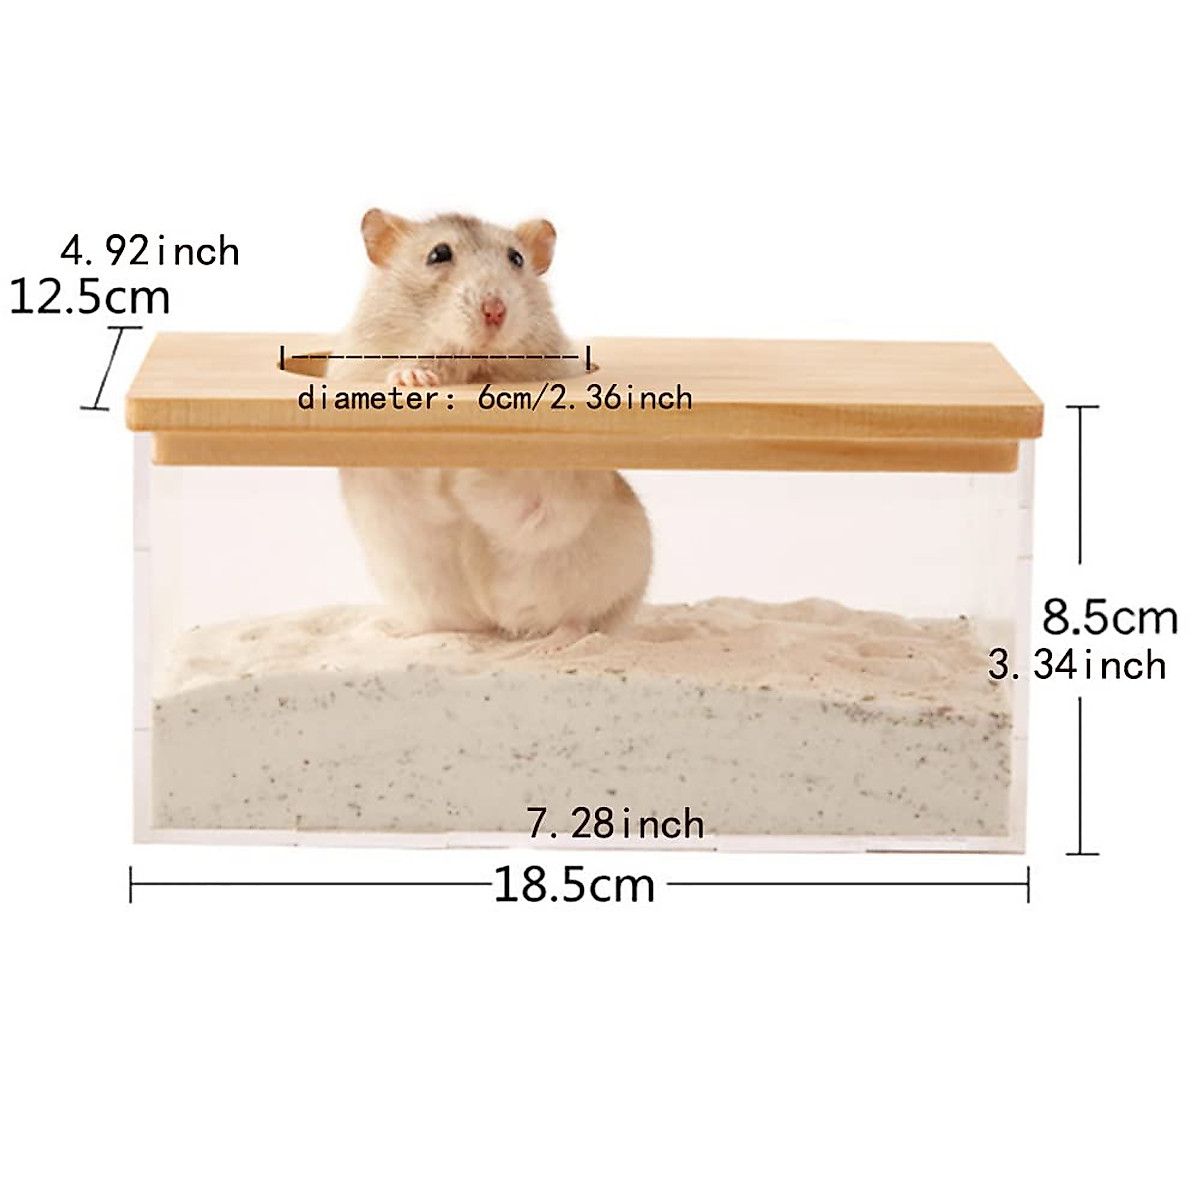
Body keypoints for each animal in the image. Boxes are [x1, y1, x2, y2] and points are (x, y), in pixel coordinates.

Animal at [331, 209, 652, 642]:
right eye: (438, 254)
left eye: (516, 259)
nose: (496, 310)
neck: (471, 368)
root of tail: (498, 624)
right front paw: (413, 378)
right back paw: (386, 631)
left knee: (580, 621)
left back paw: (554, 644)